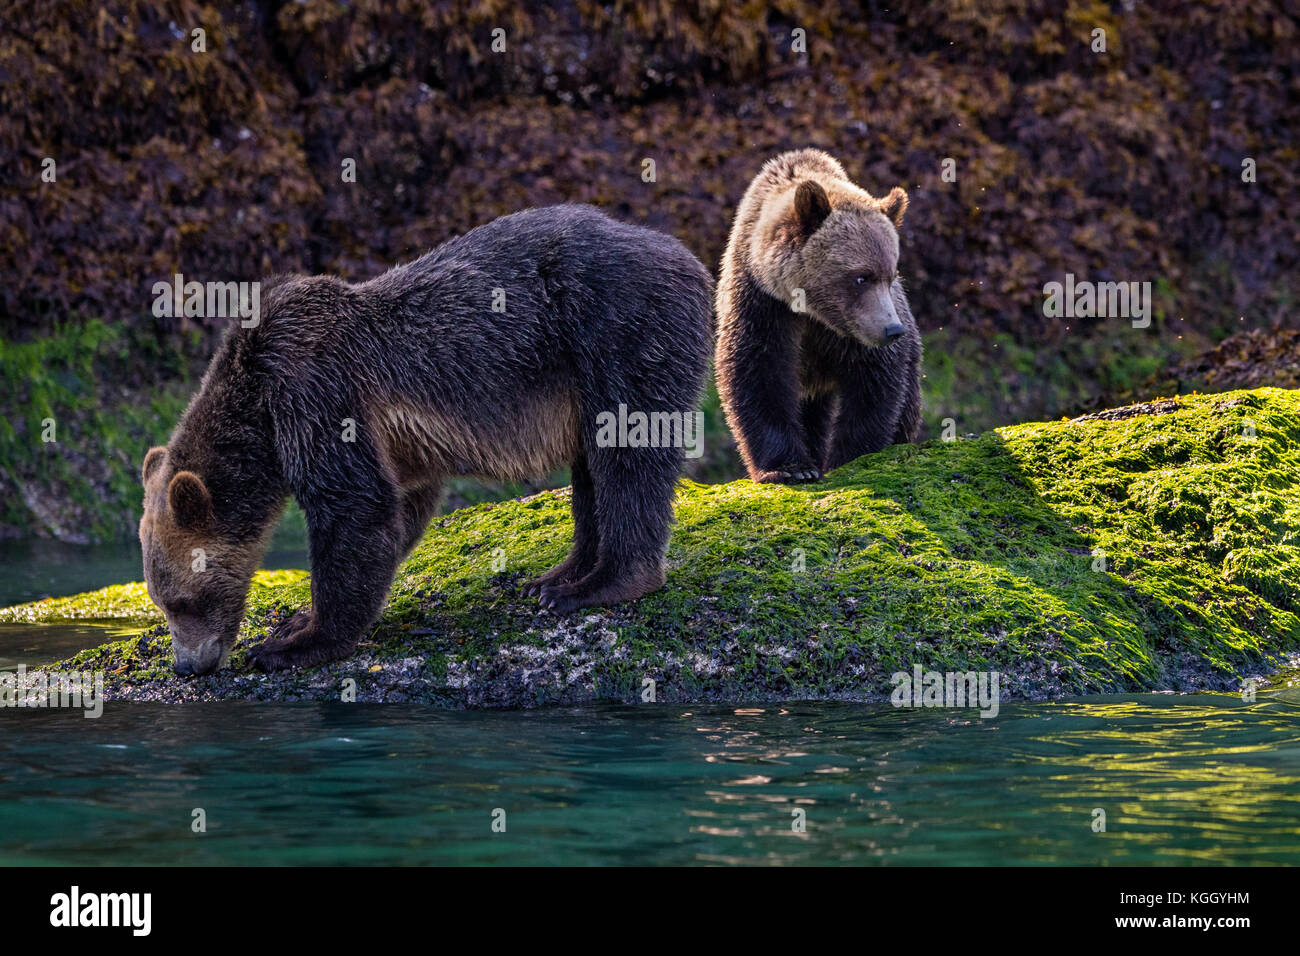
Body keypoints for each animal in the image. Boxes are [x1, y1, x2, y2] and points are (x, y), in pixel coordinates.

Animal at [139, 204, 713, 675]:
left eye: (182, 600)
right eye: (161, 602)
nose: (188, 666)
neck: (256, 401)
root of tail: (692, 259)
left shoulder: (314, 389)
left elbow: (354, 505)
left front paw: (292, 643)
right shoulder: (397, 443)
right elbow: (400, 509)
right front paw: (298, 618)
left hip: (620, 331)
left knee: (628, 456)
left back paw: (599, 584)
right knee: (591, 467)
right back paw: (556, 577)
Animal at [715, 148, 922, 483]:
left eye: (891, 276)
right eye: (861, 277)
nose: (892, 330)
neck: (810, 310)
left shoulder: (853, 329)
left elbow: (875, 382)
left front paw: (850, 457)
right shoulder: (762, 302)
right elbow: (757, 370)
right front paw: (790, 468)